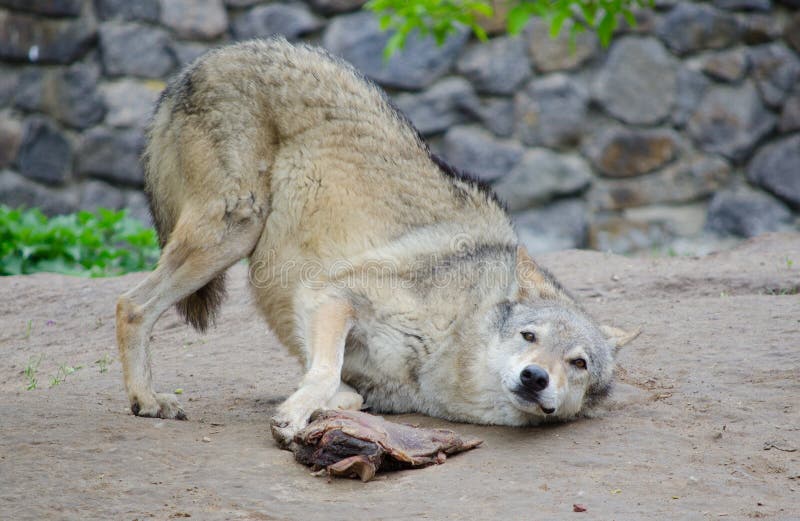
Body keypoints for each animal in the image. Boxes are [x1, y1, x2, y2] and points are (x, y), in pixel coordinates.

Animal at [115, 38, 637, 447]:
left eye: (578, 362)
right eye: (530, 337)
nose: (535, 376)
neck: (451, 338)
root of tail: (204, 59)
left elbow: (346, 393)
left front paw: (314, 410)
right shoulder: (329, 293)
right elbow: (325, 372)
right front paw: (294, 414)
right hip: (235, 230)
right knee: (131, 305)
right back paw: (148, 400)